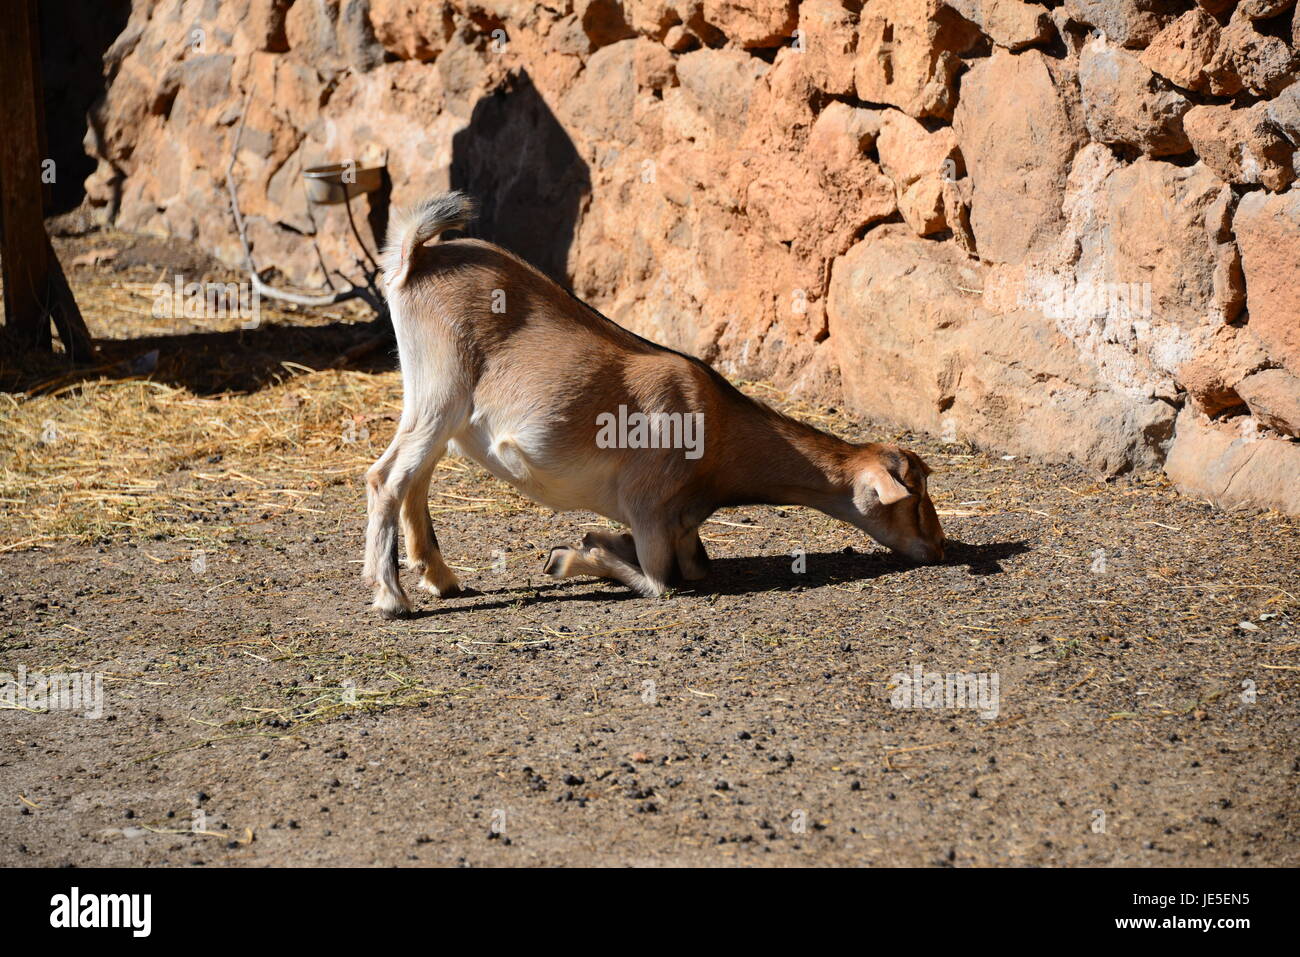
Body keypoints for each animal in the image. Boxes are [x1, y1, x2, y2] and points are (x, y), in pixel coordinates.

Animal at [363, 192, 946, 618]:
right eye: (912, 497)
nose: (939, 547)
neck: (718, 437)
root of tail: (416, 259)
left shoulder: (681, 525)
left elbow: (697, 568)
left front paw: (596, 541)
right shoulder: (649, 508)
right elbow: (660, 582)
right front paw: (575, 553)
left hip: (433, 405)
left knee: (416, 480)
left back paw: (441, 580)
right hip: (440, 393)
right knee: (387, 476)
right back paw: (392, 598)